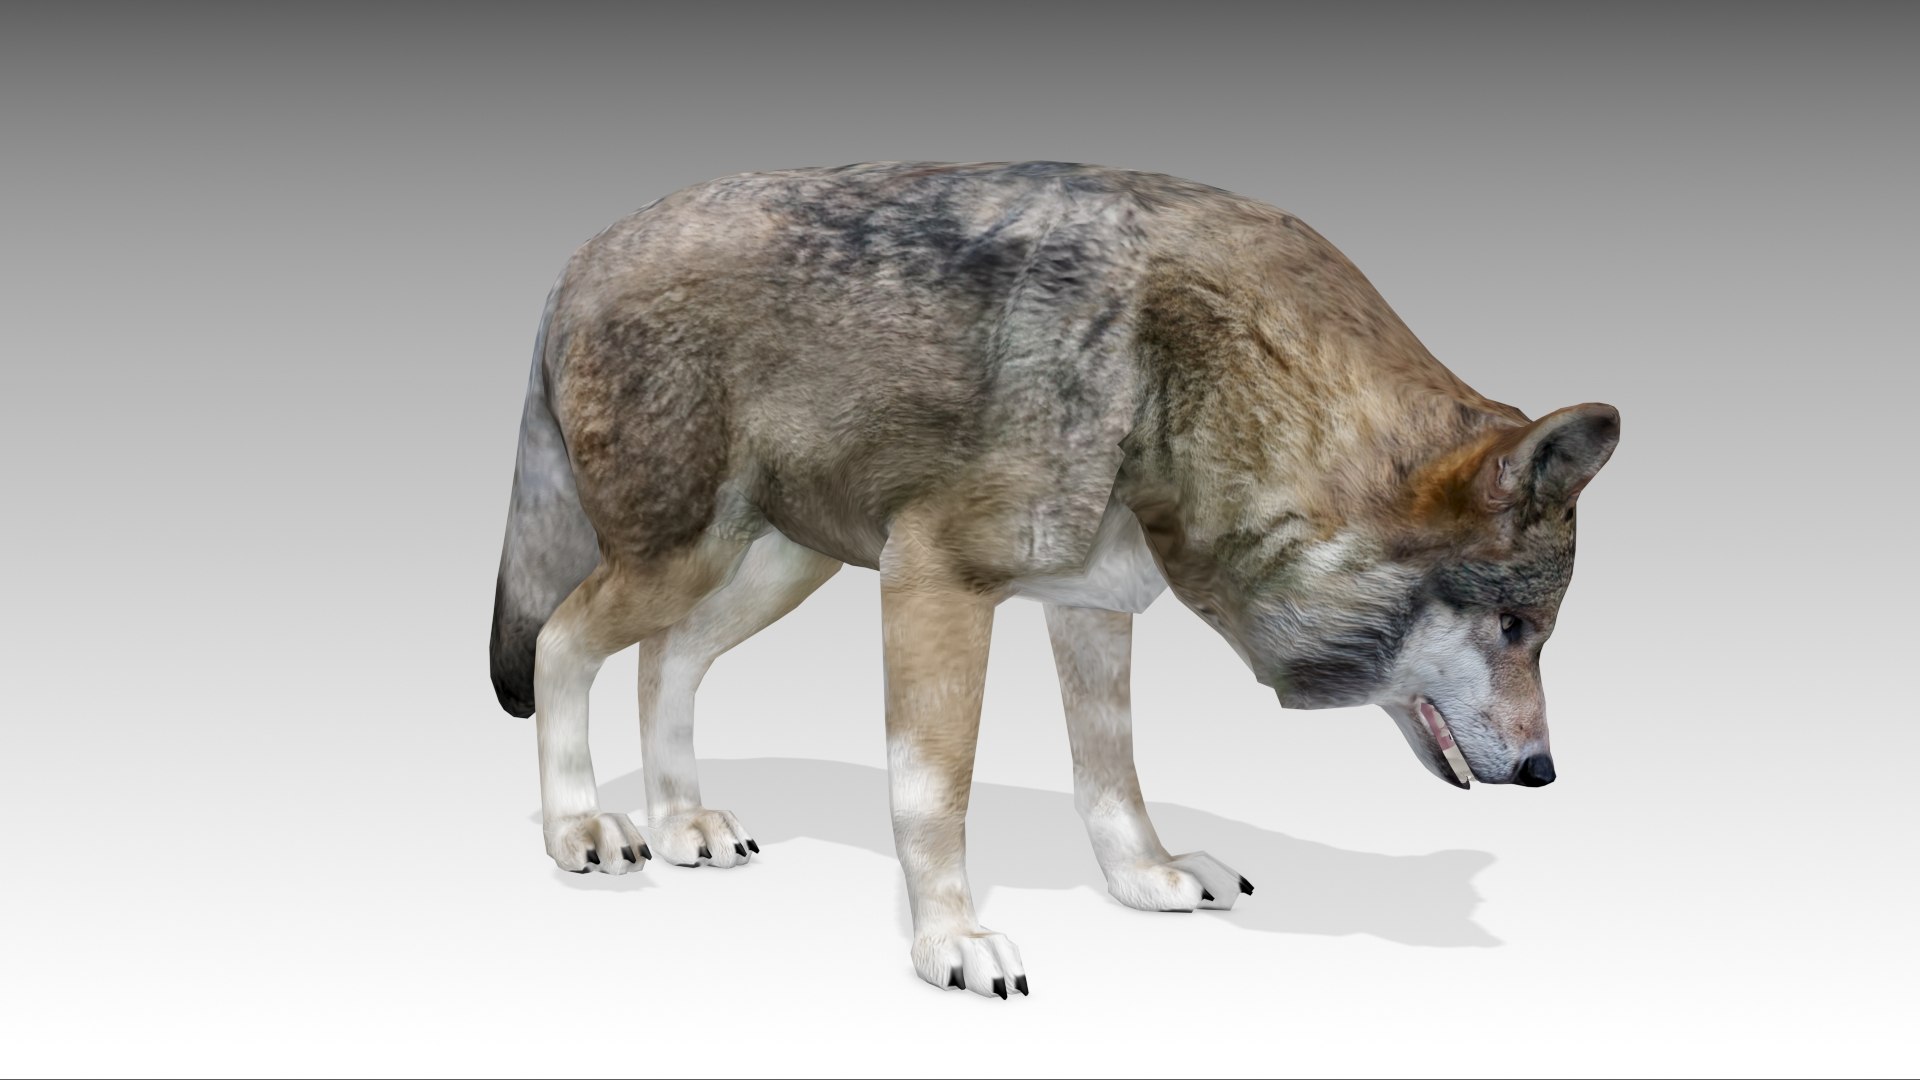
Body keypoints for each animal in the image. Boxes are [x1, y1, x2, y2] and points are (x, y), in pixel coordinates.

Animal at [488, 161, 1620, 998]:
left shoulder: (1093, 608)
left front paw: (1148, 880)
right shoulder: (933, 585)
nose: (1544, 774)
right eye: (1515, 628)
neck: (1187, 379)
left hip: (765, 570)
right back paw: (581, 828)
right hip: (688, 560)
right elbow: (933, 795)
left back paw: (685, 824)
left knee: (662, 664)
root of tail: (578, 256)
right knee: (562, 644)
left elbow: (1111, 774)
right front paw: (949, 942)